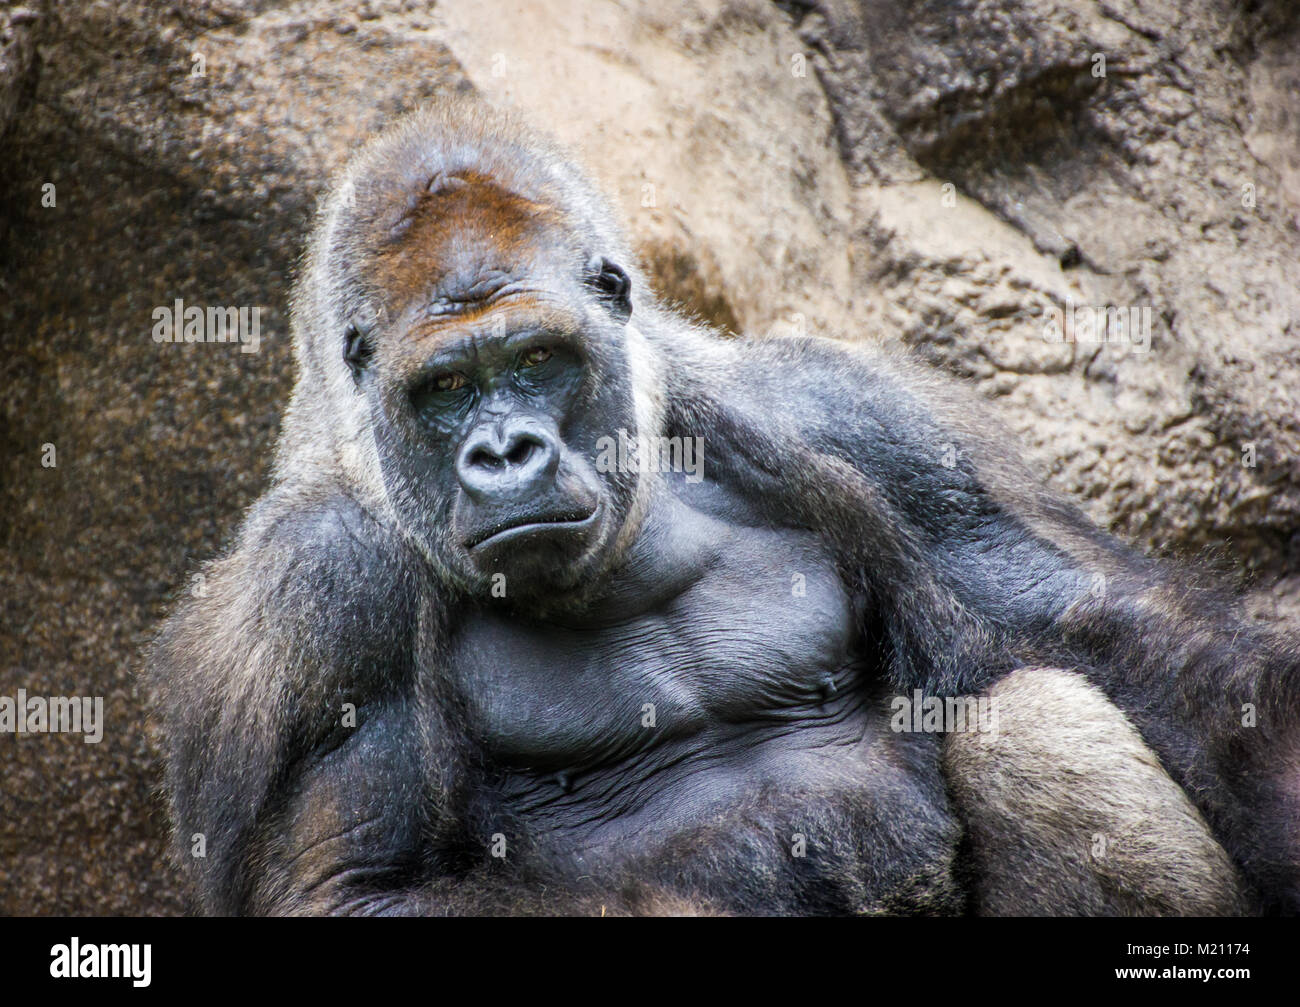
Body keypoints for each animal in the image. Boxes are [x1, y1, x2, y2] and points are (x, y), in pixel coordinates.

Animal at [145, 98, 1298, 916]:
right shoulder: (322, 593)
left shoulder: (857, 426)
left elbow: (1127, 645)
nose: (505, 452)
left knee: (1035, 721)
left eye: (536, 359)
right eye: (444, 388)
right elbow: (357, 891)